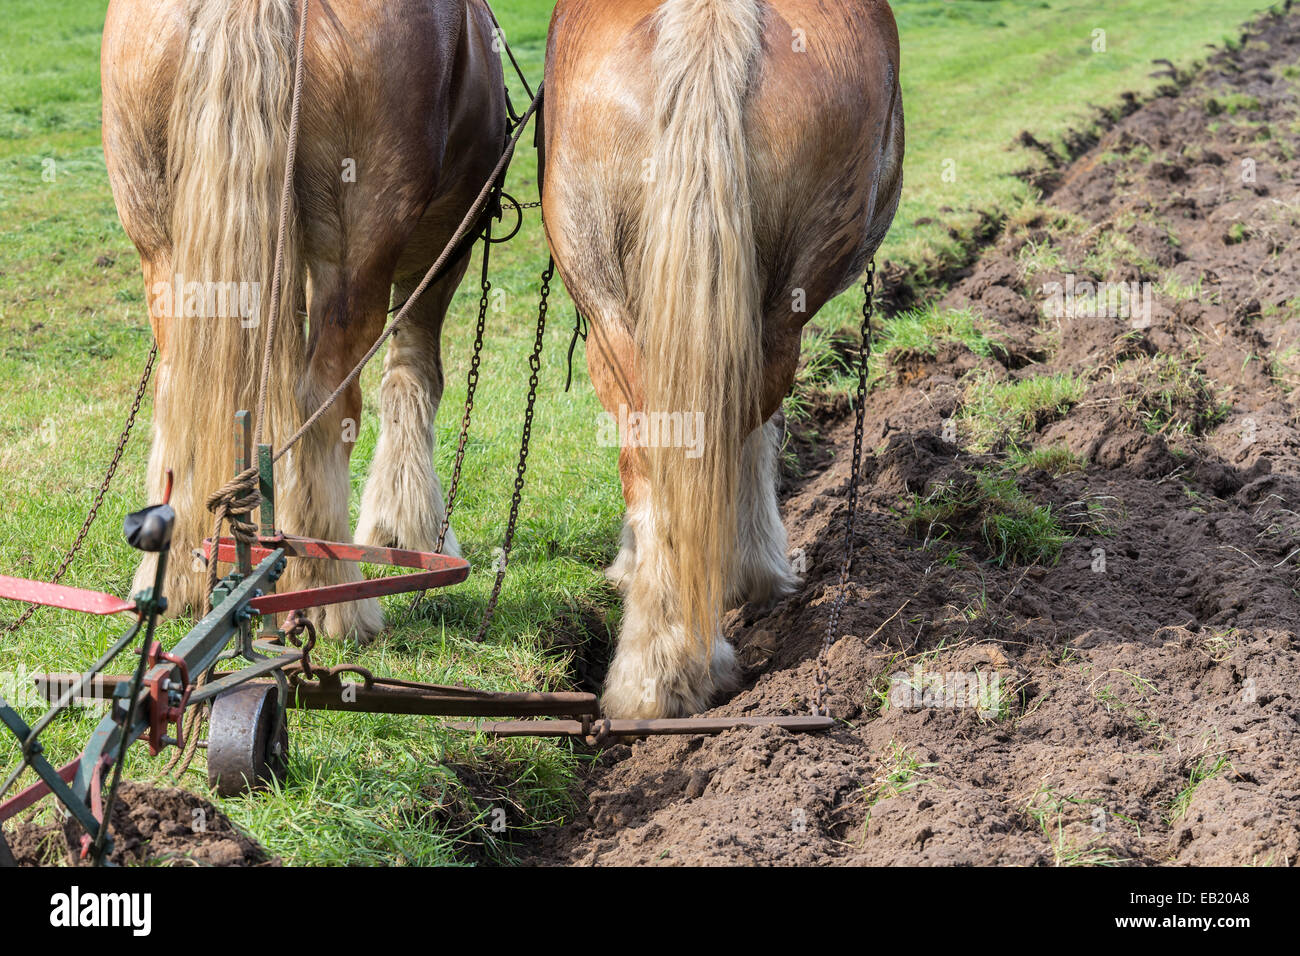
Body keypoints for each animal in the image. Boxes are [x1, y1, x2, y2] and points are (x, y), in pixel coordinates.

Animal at [101, 0, 506, 639]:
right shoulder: (446, 243)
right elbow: (414, 374)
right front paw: (404, 529)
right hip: (359, 243)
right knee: (326, 401)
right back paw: (333, 595)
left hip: (158, 237)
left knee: (179, 392)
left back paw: (183, 579)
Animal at [540, 0, 904, 717]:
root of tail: (709, 19)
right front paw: (758, 571)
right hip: (765, 317)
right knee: (722, 437)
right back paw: (683, 659)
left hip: (615, 320)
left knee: (656, 462)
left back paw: (657, 671)